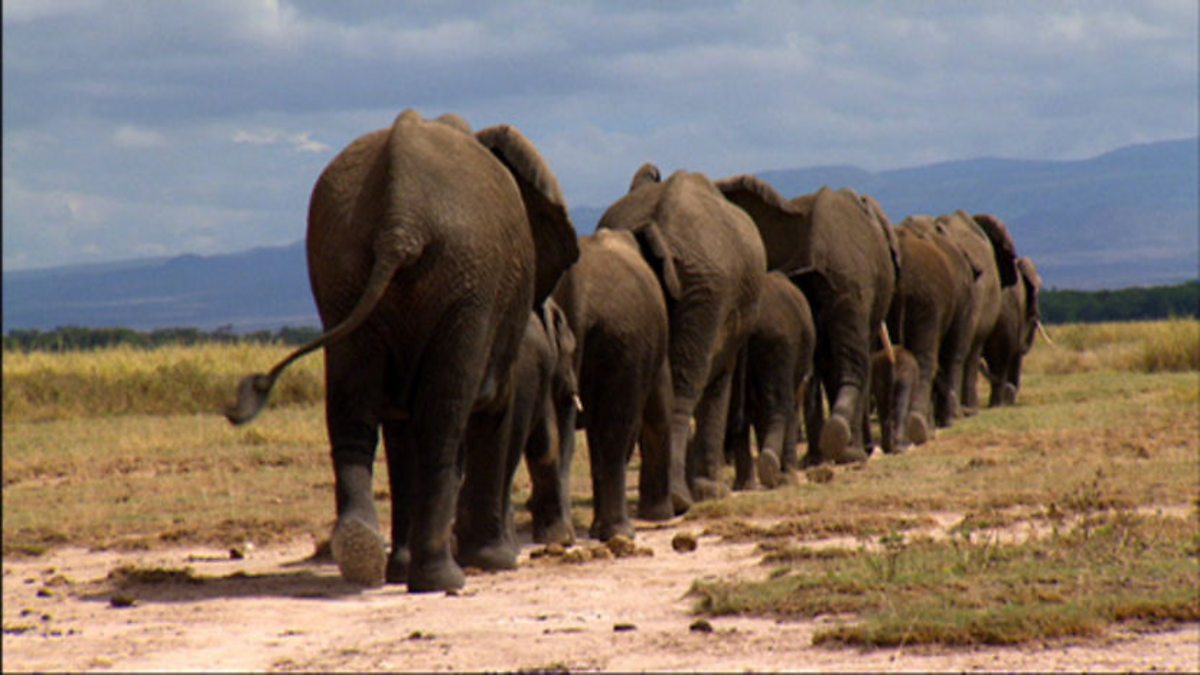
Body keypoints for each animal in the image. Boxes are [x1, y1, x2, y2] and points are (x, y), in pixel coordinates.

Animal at [225, 110, 578, 592]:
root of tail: (400, 218)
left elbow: (399, 421)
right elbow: (493, 408)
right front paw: (495, 561)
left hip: (341, 269)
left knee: (356, 410)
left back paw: (363, 554)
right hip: (463, 279)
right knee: (442, 421)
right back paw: (442, 578)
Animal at [537, 228, 677, 541]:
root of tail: (575, 289)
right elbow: (657, 413)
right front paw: (662, 515)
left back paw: (560, 536)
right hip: (624, 344)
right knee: (617, 426)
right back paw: (618, 533)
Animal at [598, 164, 767, 503]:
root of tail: (662, 223)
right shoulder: (719, 306)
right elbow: (718, 383)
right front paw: (710, 491)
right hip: (705, 289)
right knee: (685, 385)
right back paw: (678, 498)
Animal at [726, 270, 815, 490]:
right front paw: (788, 476)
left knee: (736, 410)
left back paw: (745, 485)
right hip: (776, 342)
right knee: (779, 406)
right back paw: (772, 471)